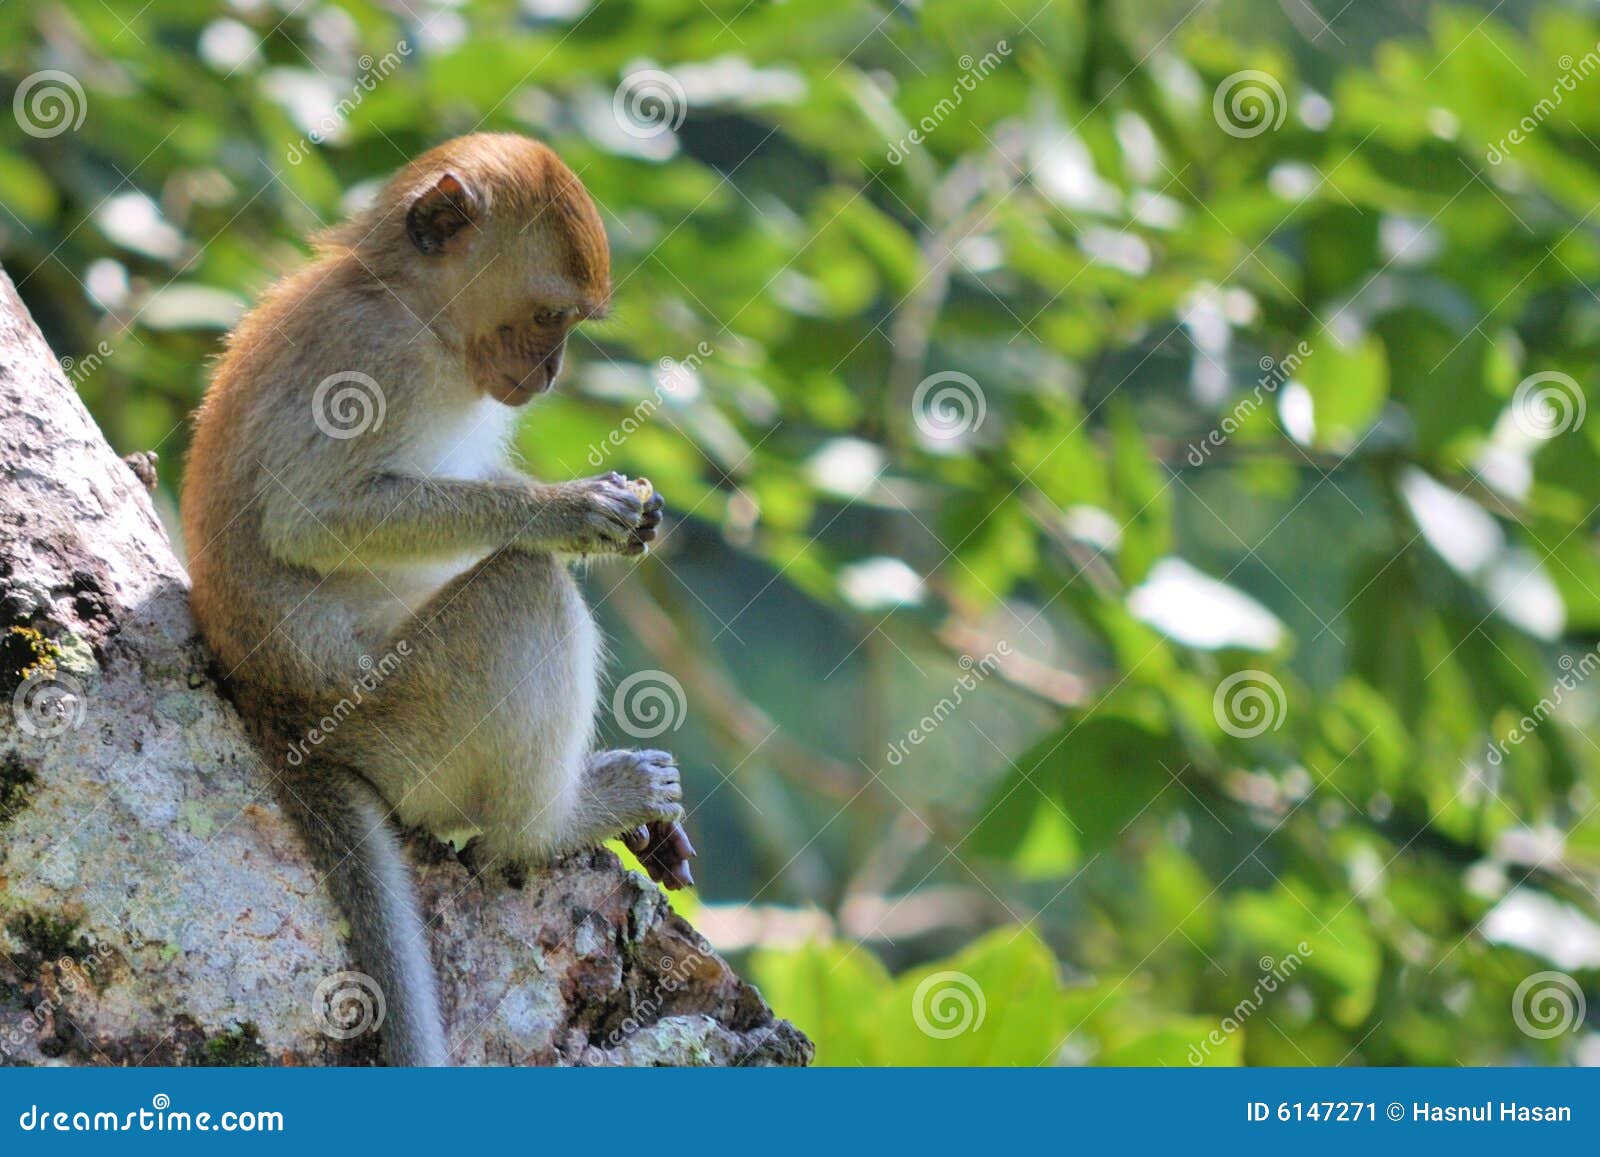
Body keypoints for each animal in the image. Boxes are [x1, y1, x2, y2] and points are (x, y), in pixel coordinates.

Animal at [180, 133, 697, 1067]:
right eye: (549, 314)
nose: (550, 371)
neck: (412, 307)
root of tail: (280, 717)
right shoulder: (375, 356)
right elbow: (310, 520)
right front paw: (567, 511)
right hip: (405, 716)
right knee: (525, 588)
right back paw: (557, 821)